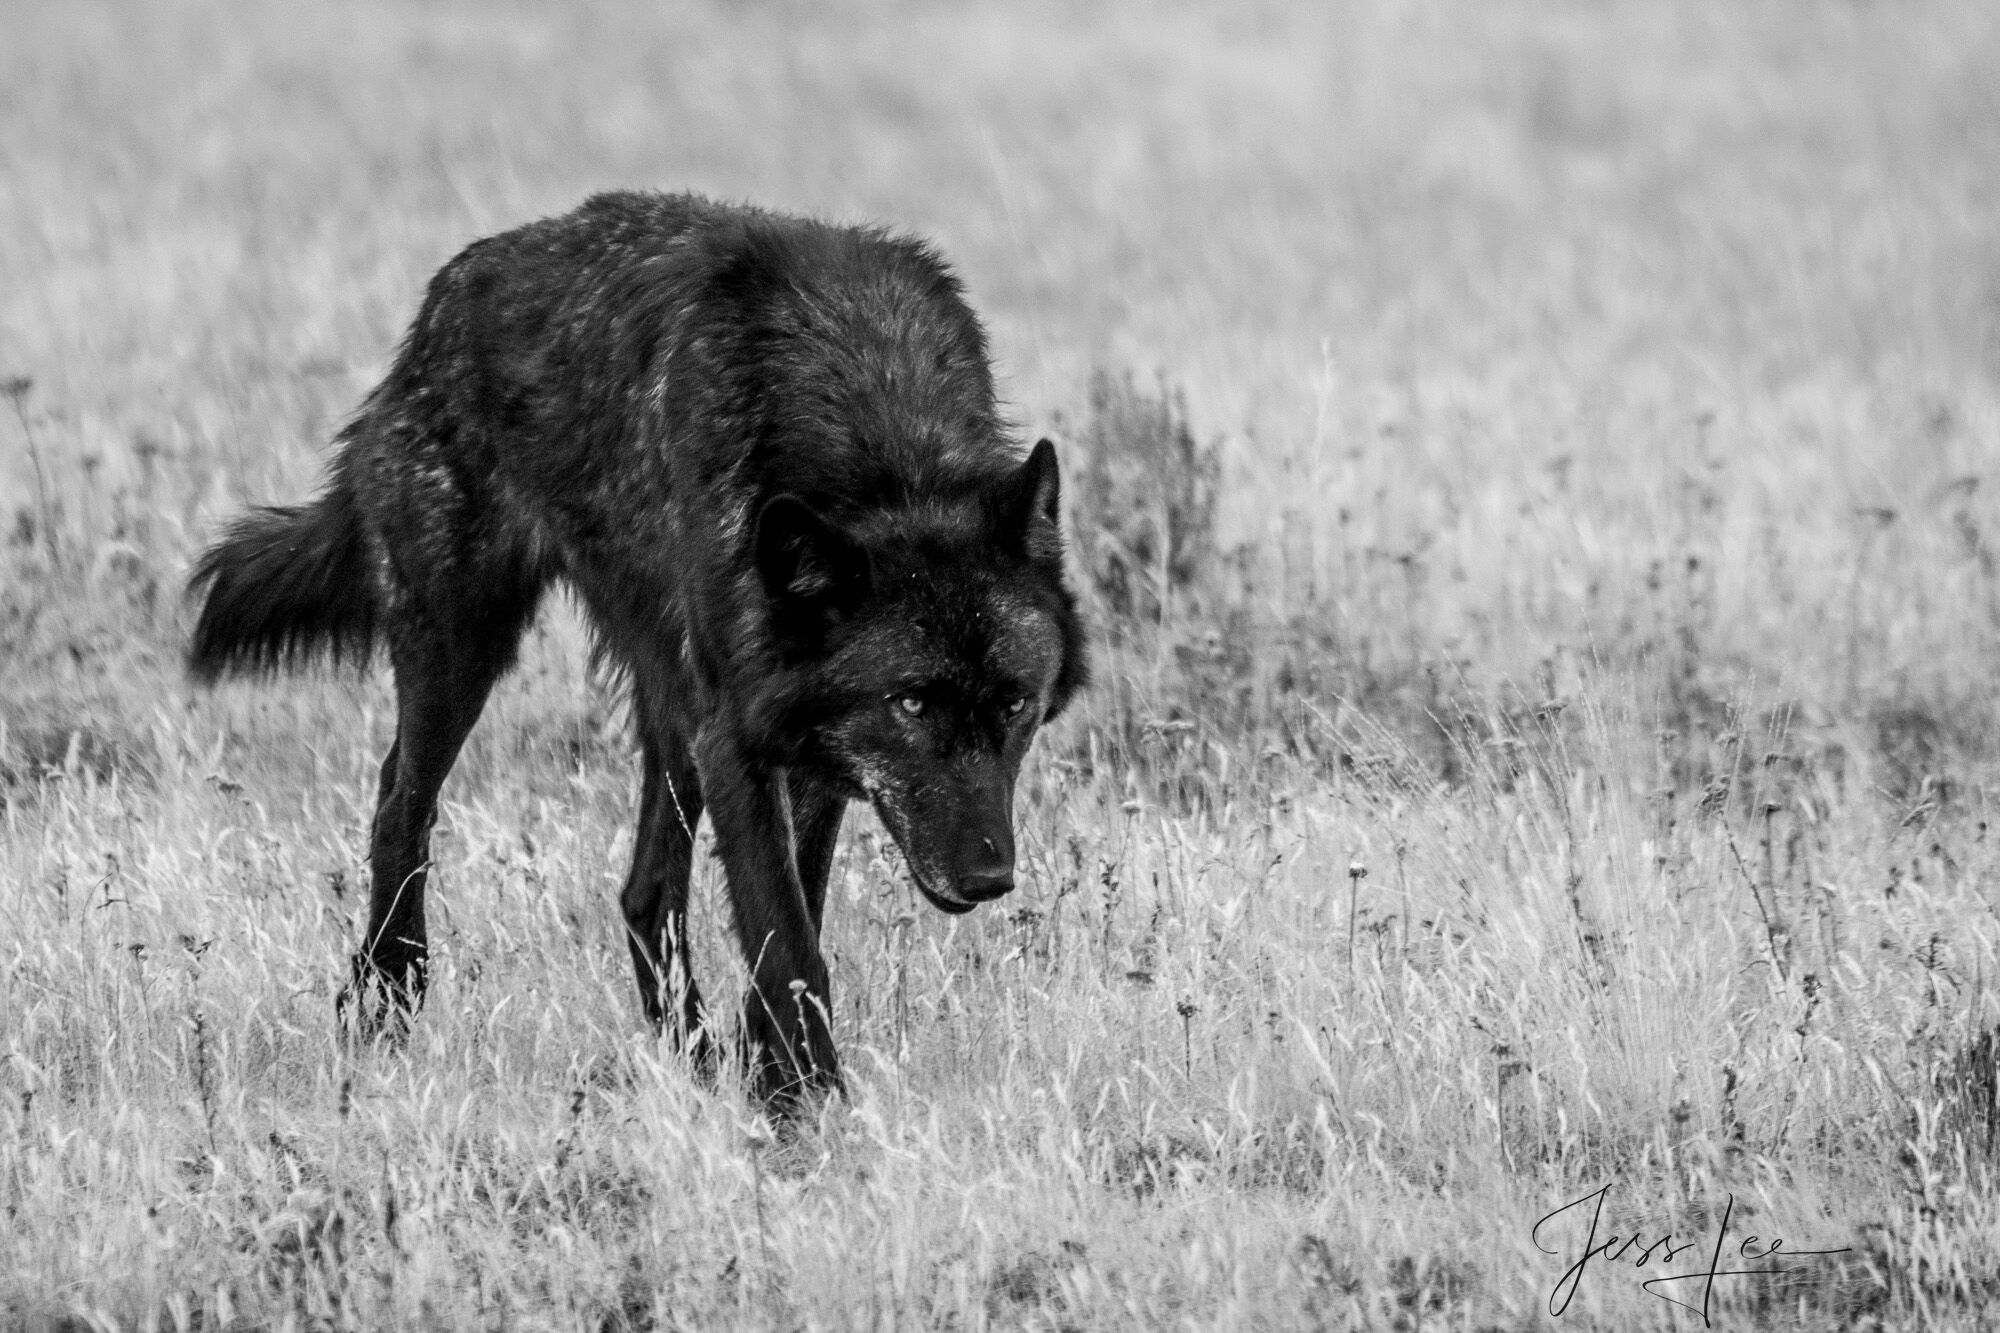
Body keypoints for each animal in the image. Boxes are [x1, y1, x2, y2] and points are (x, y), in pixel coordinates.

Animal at [187, 191, 1088, 1102]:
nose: (989, 877)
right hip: (463, 650)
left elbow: (792, 920)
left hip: (666, 708)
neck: (882, 442)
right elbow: (788, 945)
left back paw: (691, 1058)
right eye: (911, 703)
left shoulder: (799, 742)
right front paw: (809, 1106)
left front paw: (767, 1077)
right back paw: (386, 1002)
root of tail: (443, 298)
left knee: (644, 891)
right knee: (398, 804)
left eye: (1015, 704)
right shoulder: (741, 737)